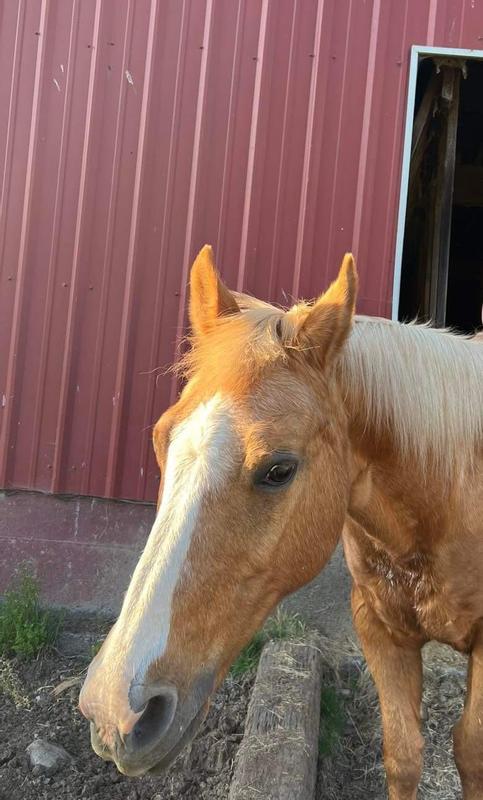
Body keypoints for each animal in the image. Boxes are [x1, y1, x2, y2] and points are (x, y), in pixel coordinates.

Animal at [79, 246, 483, 799]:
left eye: (278, 470)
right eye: (161, 438)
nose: (114, 709)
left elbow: (470, 754)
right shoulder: (379, 627)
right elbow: (403, 755)